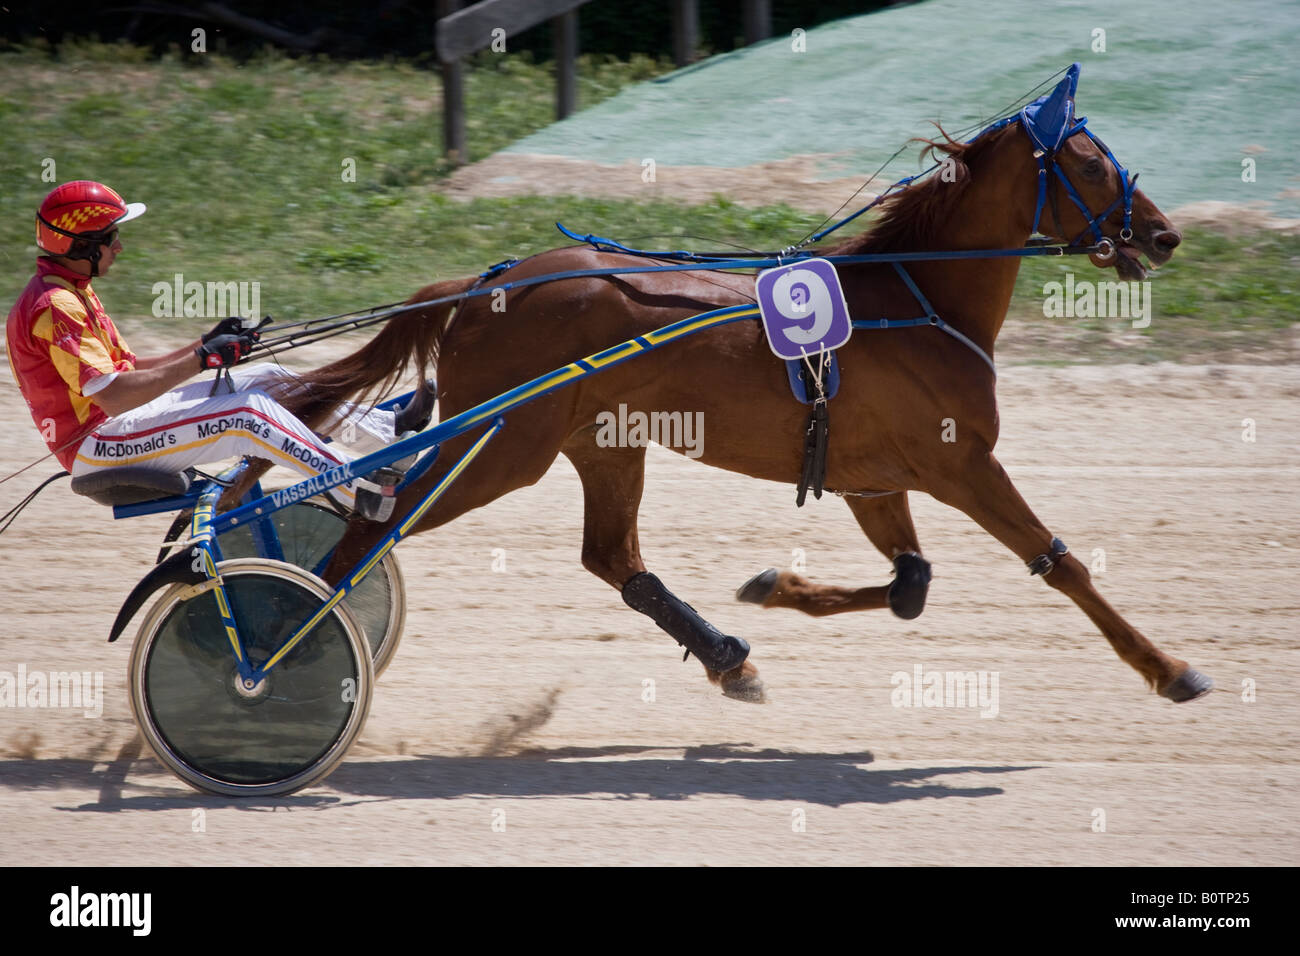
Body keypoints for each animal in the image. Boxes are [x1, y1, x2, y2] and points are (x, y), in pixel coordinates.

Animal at [277, 67, 1211, 705]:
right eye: (1088, 166)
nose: (1164, 236)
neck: (914, 300)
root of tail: (489, 282)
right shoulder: (963, 465)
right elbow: (1059, 563)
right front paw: (1168, 667)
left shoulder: (874, 477)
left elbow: (910, 587)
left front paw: (775, 588)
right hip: (499, 446)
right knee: (375, 528)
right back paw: (289, 643)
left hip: (600, 444)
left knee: (613, 558)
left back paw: (729, 657)